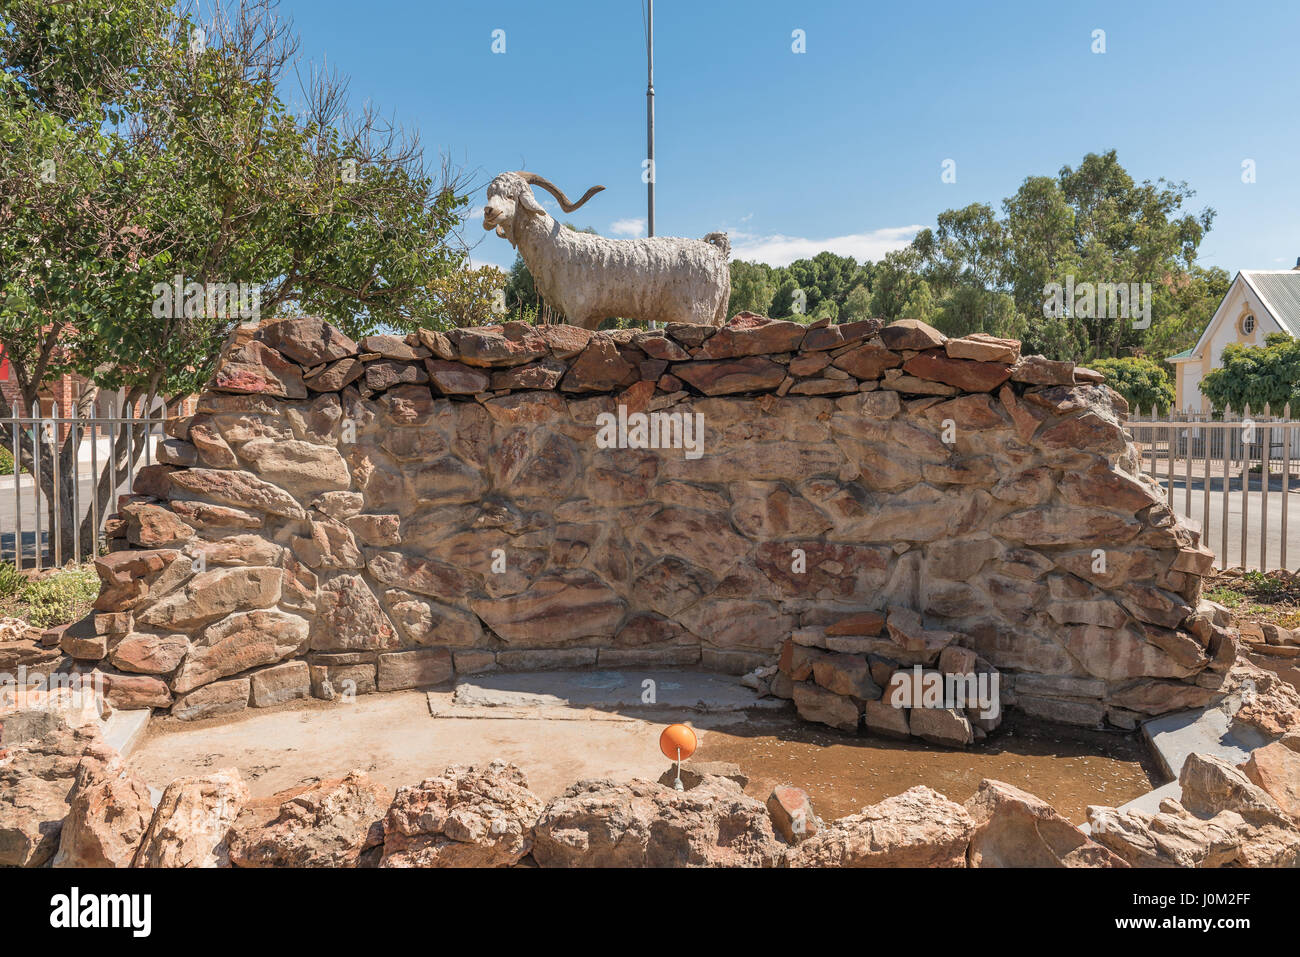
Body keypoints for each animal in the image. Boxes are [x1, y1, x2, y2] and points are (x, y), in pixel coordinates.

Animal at [482, 171, 730, 329]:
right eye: (489, 194)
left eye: (511, 196)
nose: (488, 211)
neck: (556, 245)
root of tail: (717, 251)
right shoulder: (592, 316)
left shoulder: (579, 311)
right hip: (718, 312)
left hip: (696, 313)